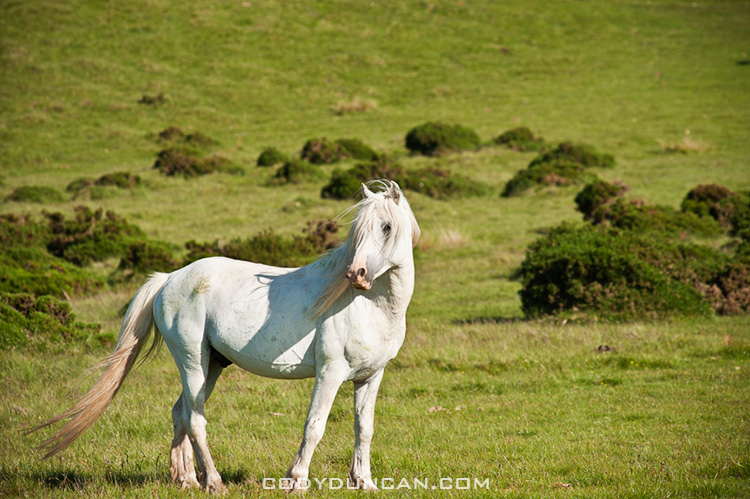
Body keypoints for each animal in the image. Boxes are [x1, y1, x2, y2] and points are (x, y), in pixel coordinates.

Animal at [31, 180, 420, 493]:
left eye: (386, 226)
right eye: (358, 229)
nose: (357, 274)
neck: (370, 306)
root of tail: (169, 279)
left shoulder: (369, 377)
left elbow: (364, 428)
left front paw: (364, 482)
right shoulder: (330, 372)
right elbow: (315, 426)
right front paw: (296, 481)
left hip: (213, 365)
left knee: (180, 413)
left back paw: (187, 479)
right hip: (193, 362)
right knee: (195, 419)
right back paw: (214, 482)